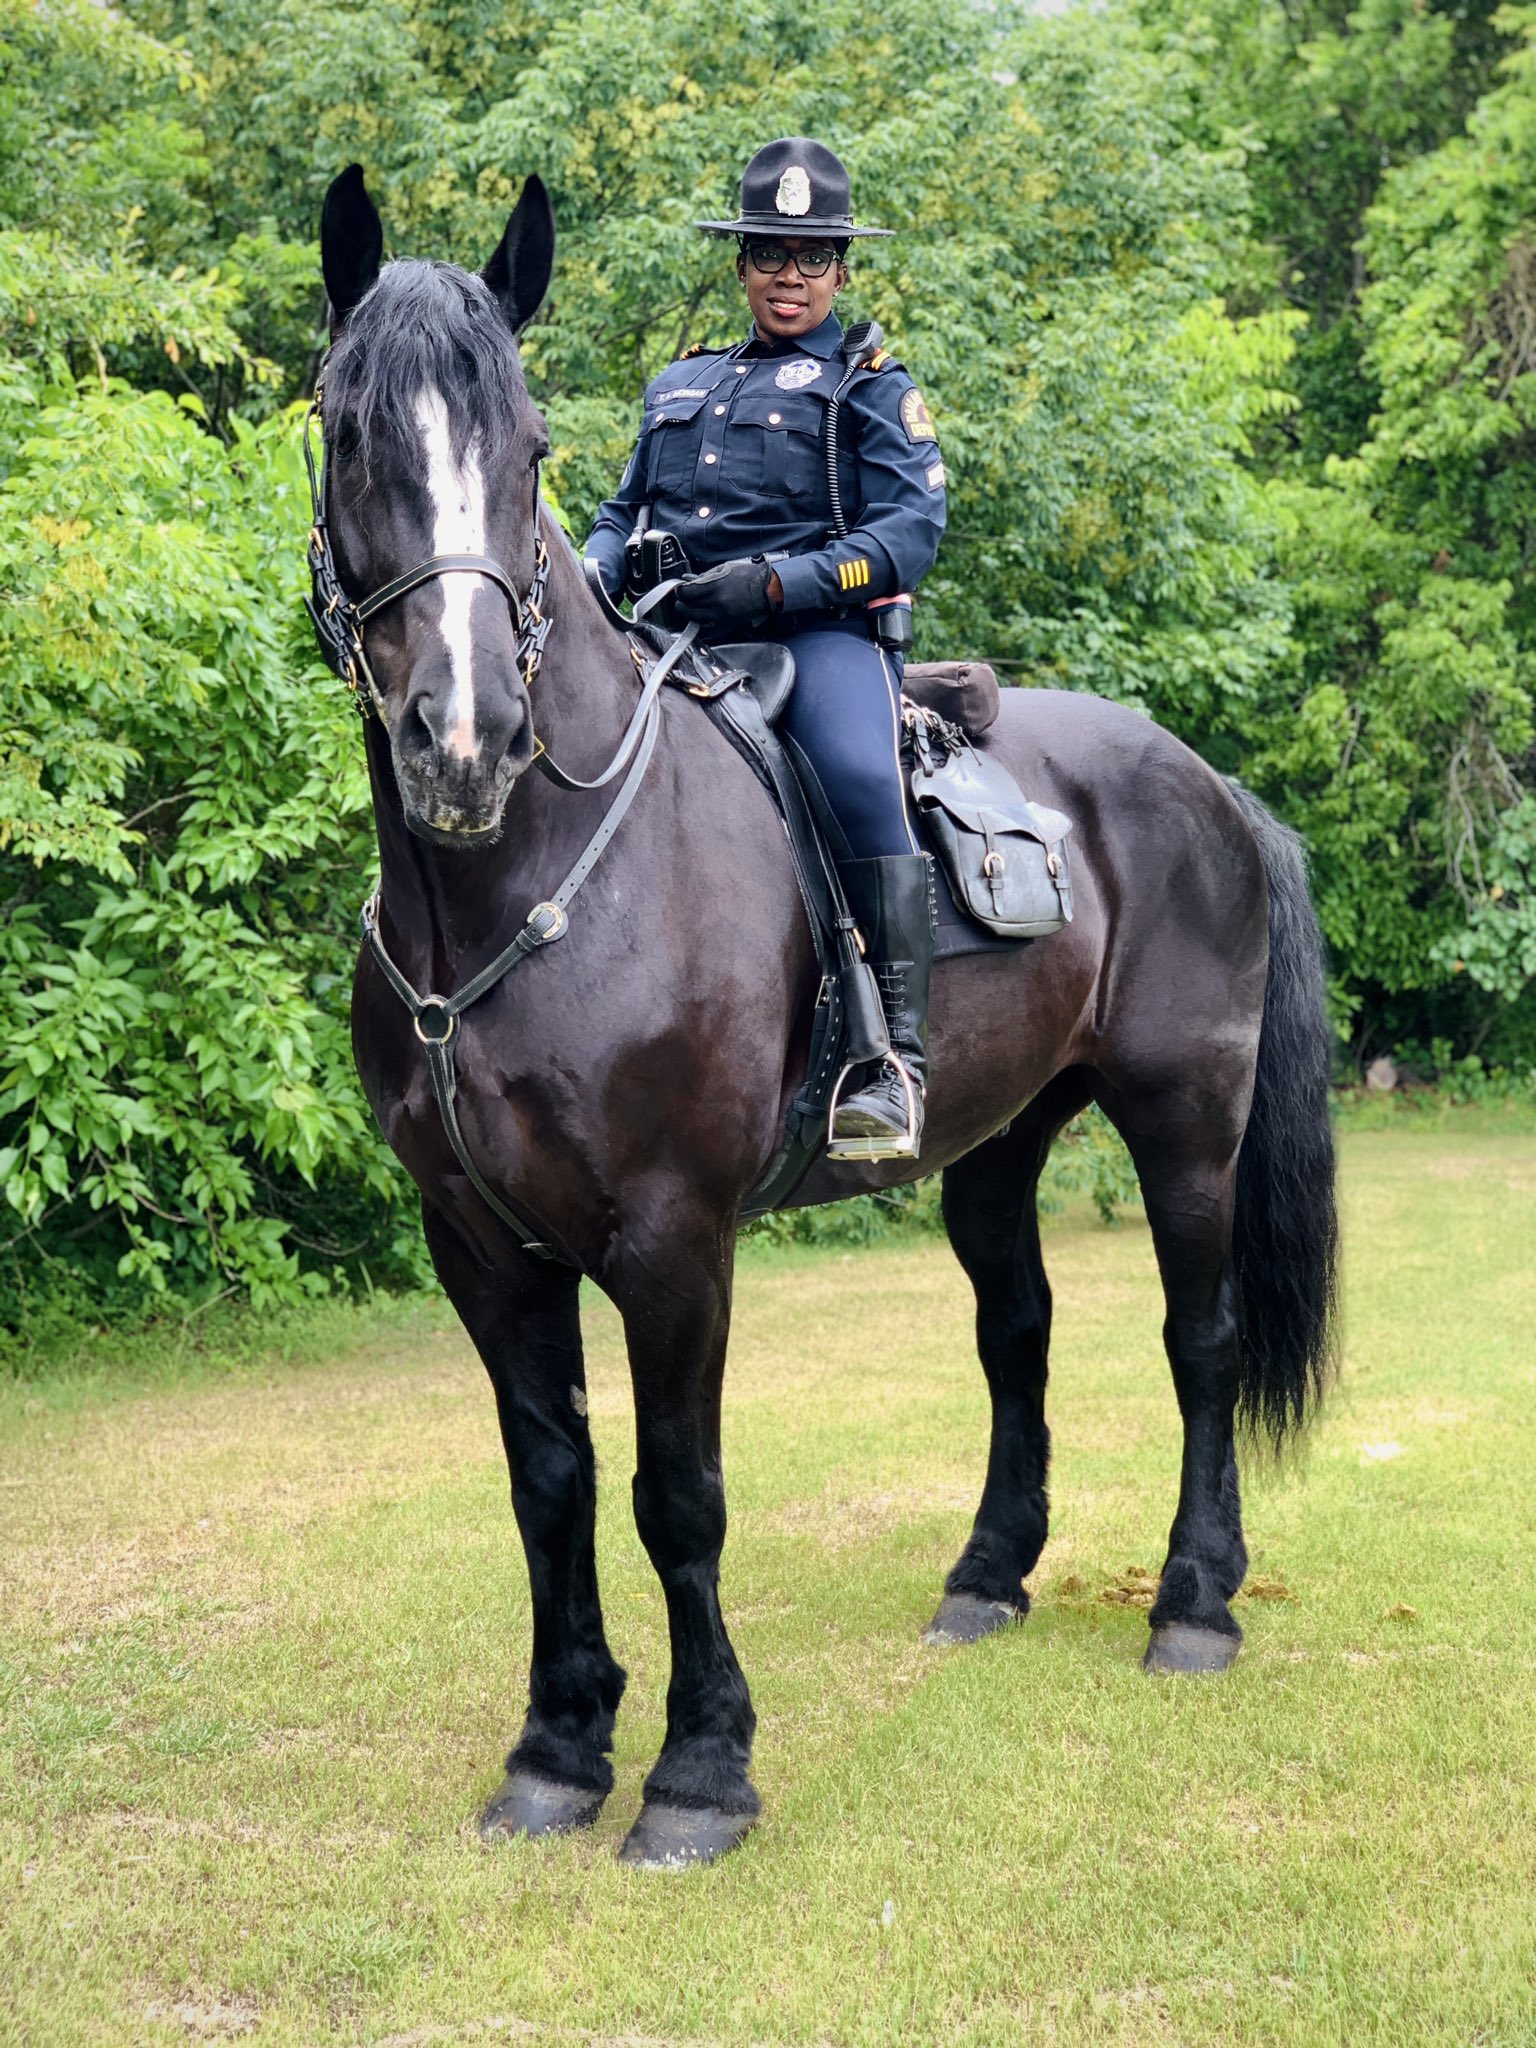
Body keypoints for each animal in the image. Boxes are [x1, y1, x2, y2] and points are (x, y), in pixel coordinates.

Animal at [313, 166, 1338, 1868]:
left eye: (527, 445)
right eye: (344, 432)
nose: (466, 738)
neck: (524, 872)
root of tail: (1203, 783)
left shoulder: (673, 1237)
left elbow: (677, 1494)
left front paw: (698, 1770)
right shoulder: (480, 1242)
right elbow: (549, 1484)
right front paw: (557, 1748)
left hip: (1190, 1121)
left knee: (1199, 1341)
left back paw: (1195, 1604)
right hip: (999, 1144)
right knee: (1017, 1332)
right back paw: (989, 1575)